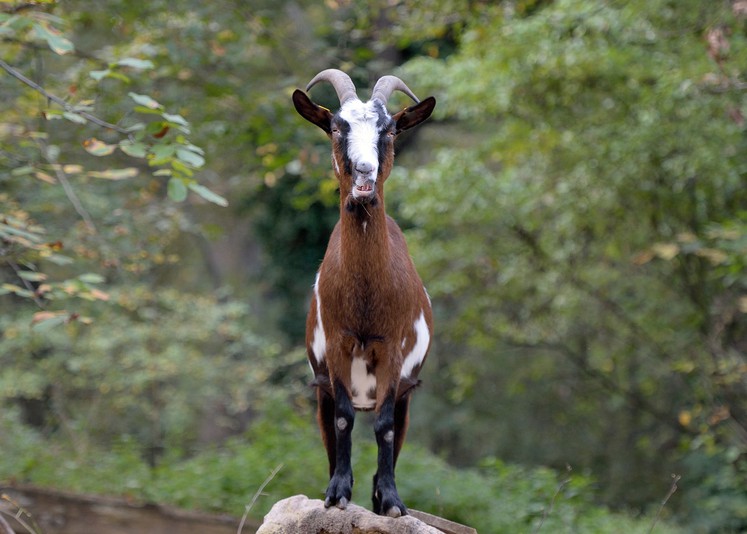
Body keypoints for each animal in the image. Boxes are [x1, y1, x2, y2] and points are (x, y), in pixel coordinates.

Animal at [292, 69, 436, 517]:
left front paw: (390, 502)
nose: (364, 172)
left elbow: (385, 427)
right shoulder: (337, 347)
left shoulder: (392, 349)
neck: (366, 305)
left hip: (407, 393)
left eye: (388, 130)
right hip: (321, 390)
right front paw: (338, 493)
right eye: (338, 127)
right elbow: (343, 420)